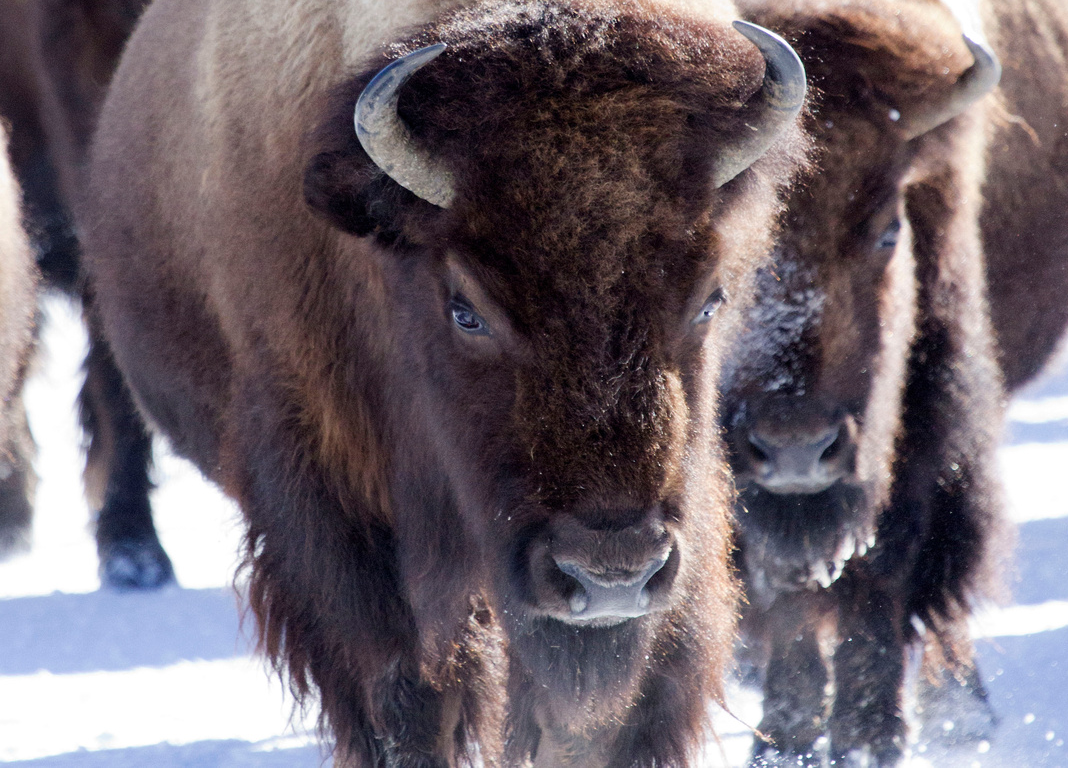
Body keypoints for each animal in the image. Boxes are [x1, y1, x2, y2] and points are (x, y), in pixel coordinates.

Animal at [724, 0, 1066, 765]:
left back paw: (960, 712)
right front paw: (786, 740)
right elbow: (779, 577)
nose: (795, 449)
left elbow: (888, 554)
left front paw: (869, 735)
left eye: (888, 231)